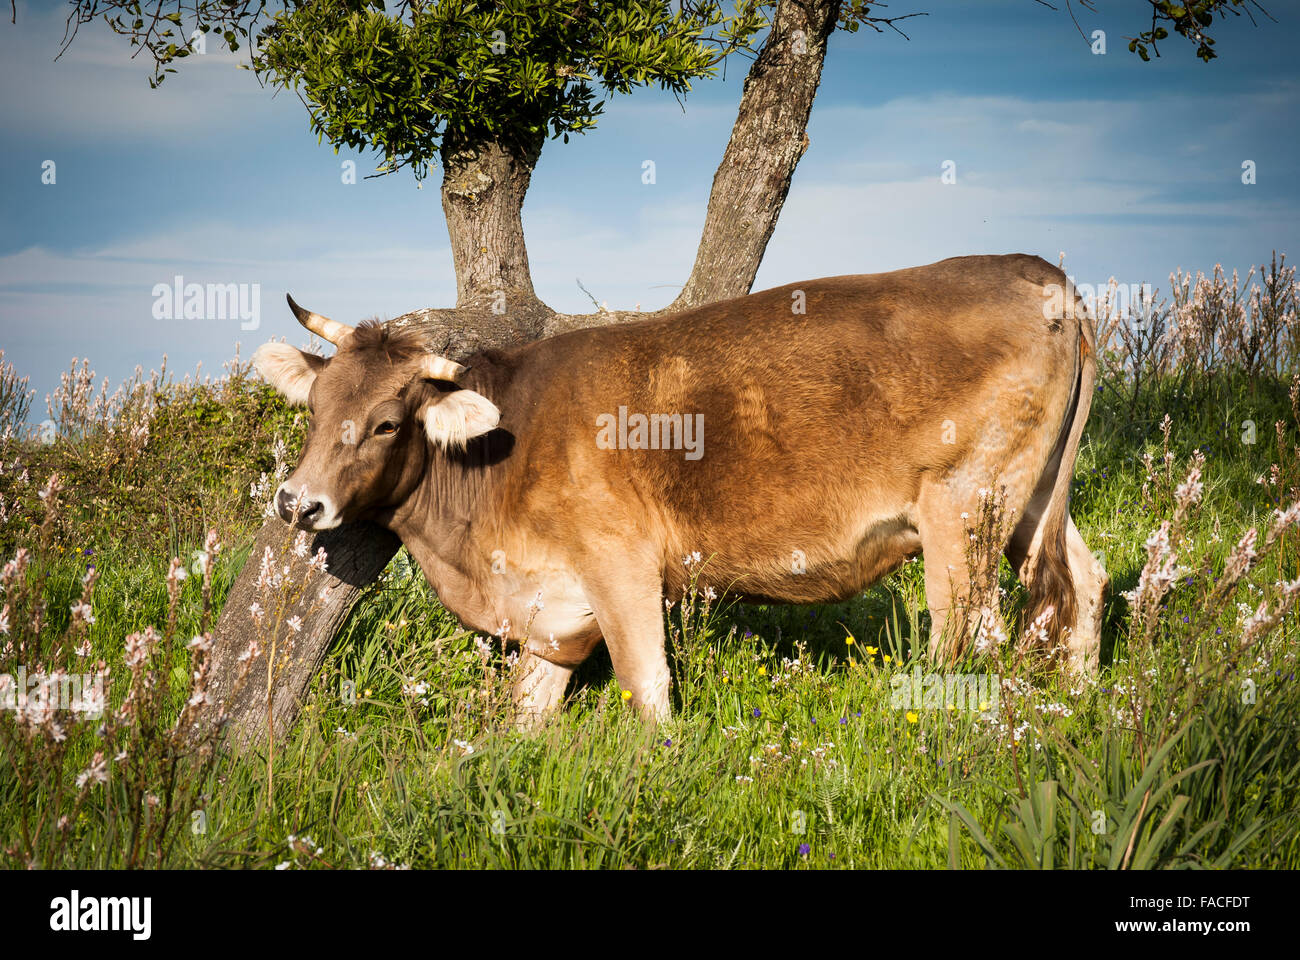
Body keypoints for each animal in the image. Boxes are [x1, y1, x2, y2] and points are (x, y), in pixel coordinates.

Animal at [252, 254, 1108, 725]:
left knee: (967, 628)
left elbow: (648, 686)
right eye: (317, 408)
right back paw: (1077, 700)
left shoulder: (622, 566)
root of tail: (1038, 271)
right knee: (1085, 583)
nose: (298, 502)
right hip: (1033, 501)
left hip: (964, 507)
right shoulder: (550, 614)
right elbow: (524, 720)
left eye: (388, 423)